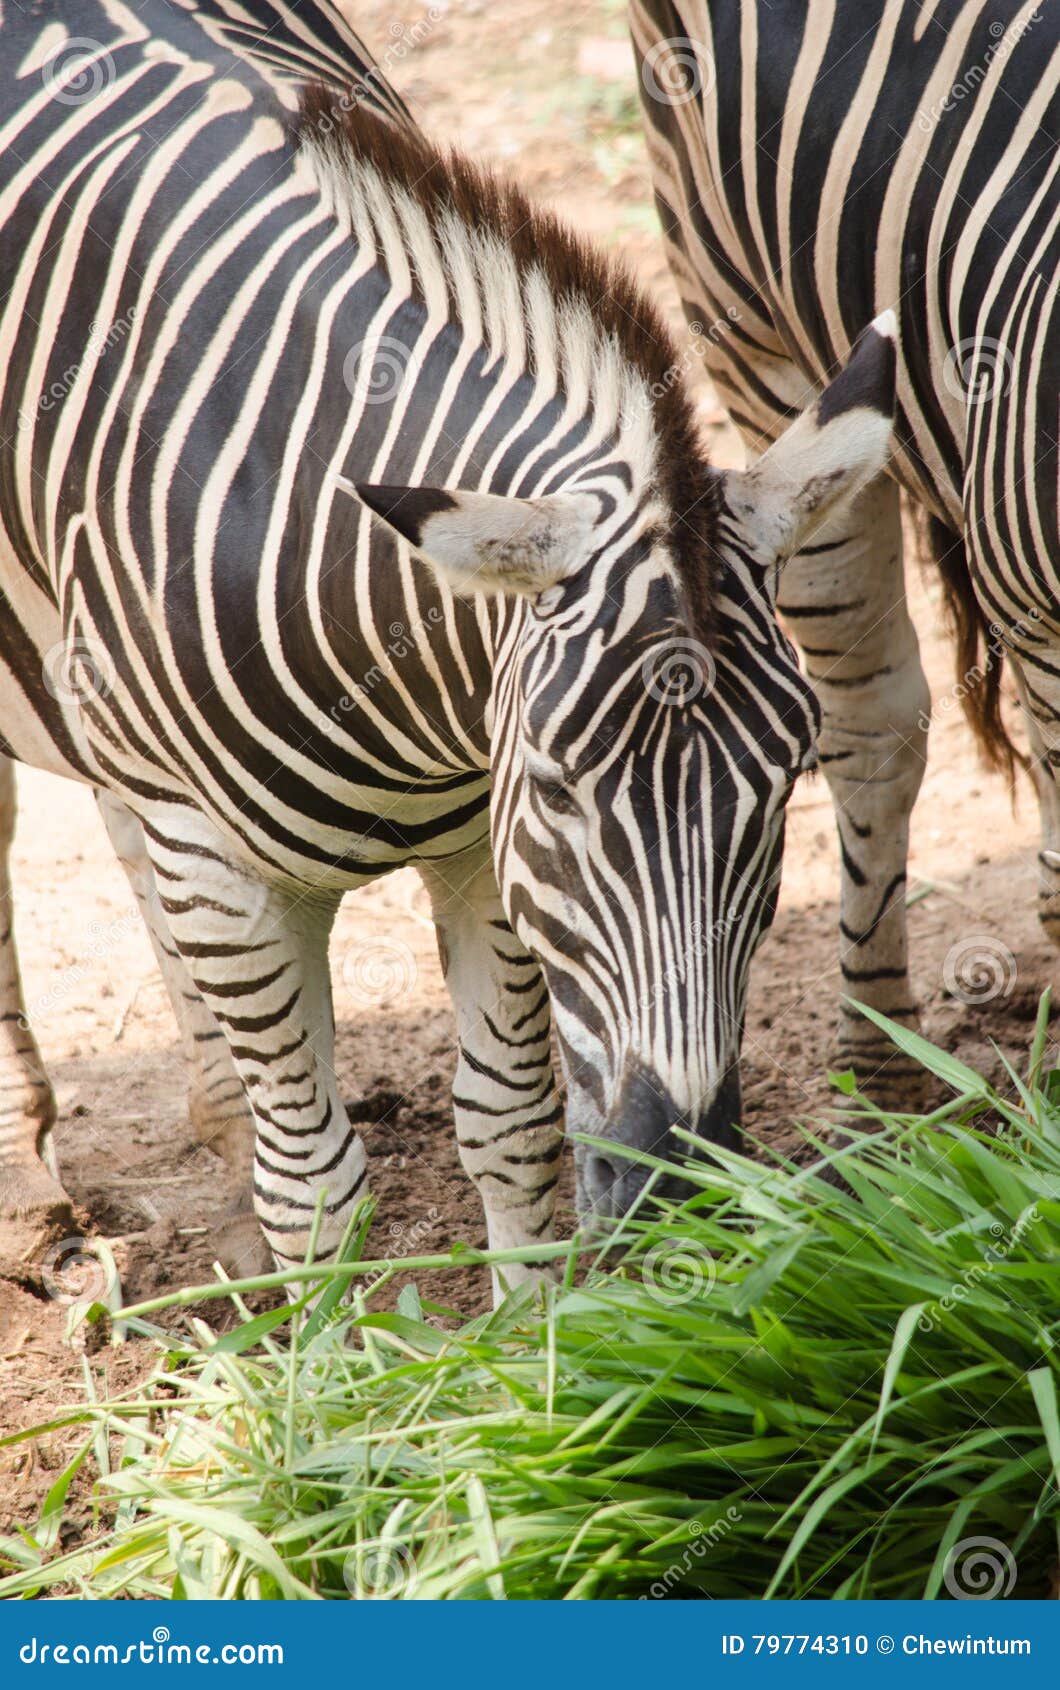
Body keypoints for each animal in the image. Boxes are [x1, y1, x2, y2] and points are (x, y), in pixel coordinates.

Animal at [0, 0, 895, 1292]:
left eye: (783, 790)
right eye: (565, 792)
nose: (675, 1192)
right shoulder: (224, 867)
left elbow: (509, 1122)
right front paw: (322, 1349)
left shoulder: (481, 841)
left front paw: (543, 1332)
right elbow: (314, 1187)